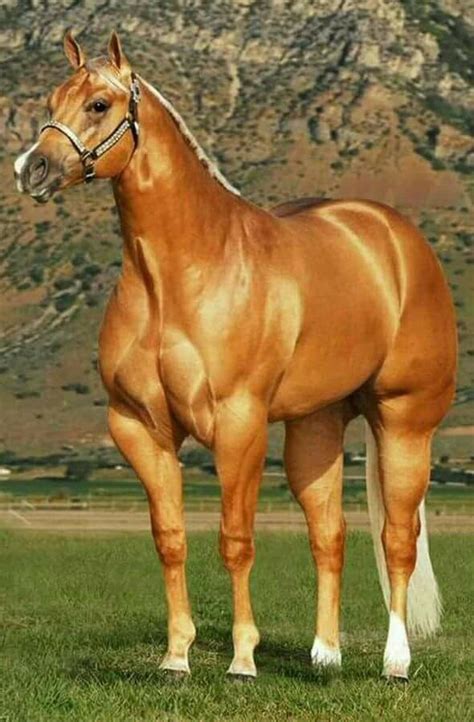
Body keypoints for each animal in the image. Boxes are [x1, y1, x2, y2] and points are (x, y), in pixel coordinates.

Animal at [14, 31, 457, 682]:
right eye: (50, 100)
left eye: (99, 103)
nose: (33, 169)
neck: (182, 272)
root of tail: (396, 238)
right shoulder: (139, 428)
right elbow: (170, 537)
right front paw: (176, 656)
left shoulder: (239, 423)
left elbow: (236, 539)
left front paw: (243, 659)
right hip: (314, 428)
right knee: (330, 533)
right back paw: (325, 655)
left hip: (404, 422)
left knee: (397, 536)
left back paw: (395, 660)